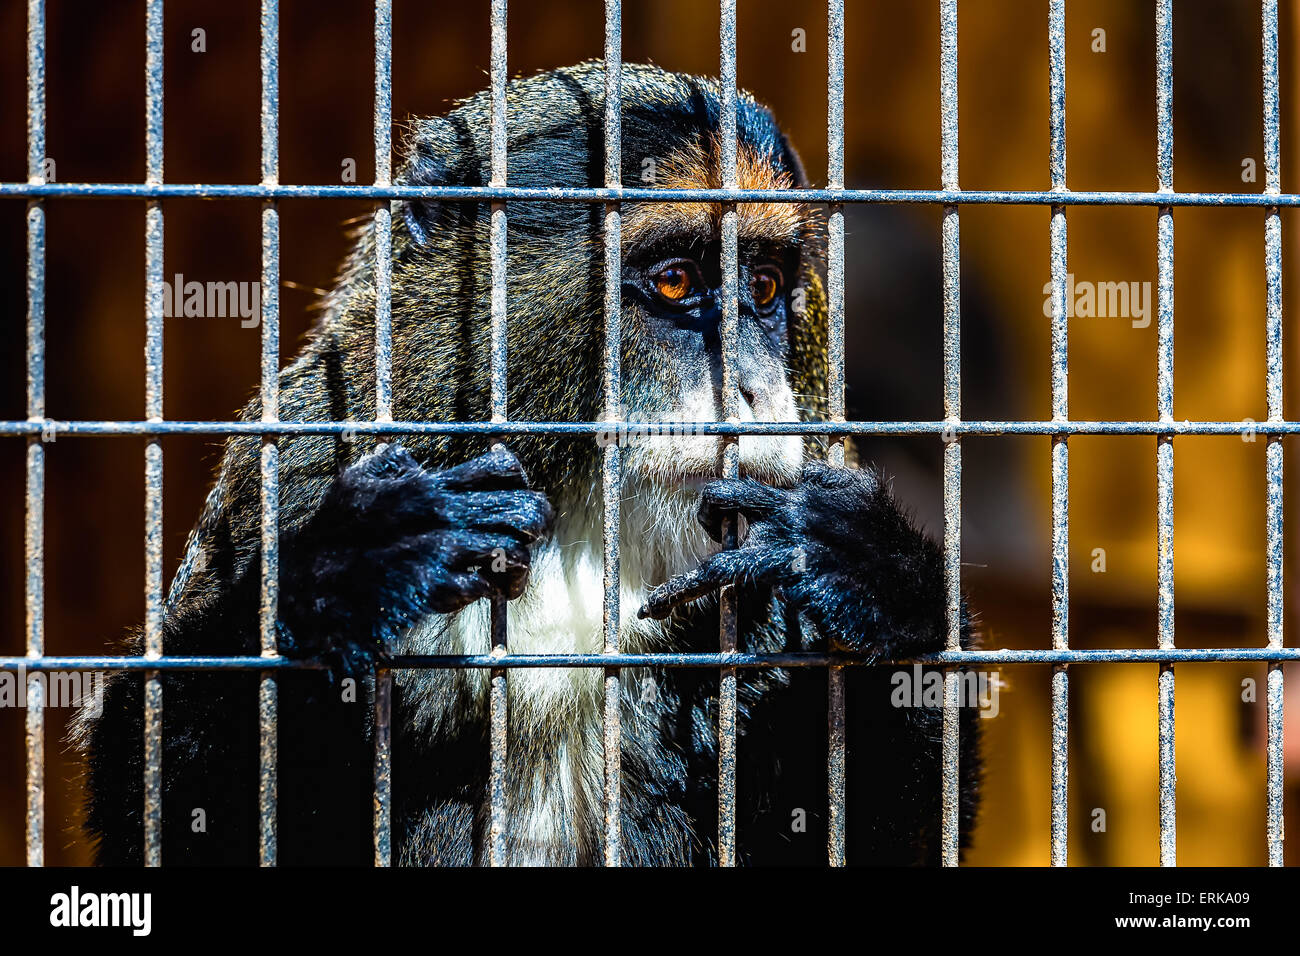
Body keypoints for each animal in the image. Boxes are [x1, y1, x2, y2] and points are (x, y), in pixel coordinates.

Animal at [74, 61, 981, 866]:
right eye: (676, 281)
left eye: (762, 285)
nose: (755, 392)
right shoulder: (304, 453)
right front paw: (354, 566)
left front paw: (872, 574)